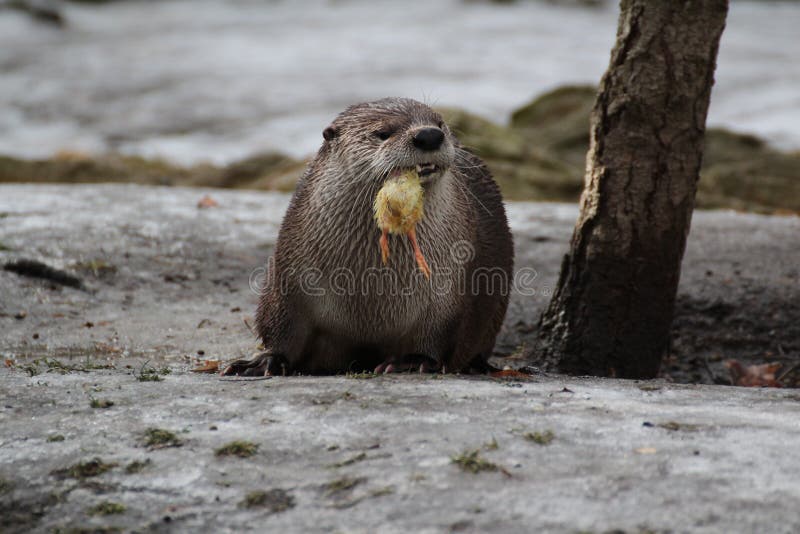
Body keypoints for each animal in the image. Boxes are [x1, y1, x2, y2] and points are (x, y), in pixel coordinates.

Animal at [224, 98, 513, 375]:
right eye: (383, 133)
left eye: (440, 123)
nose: (430, 135)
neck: (370, 292)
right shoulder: (289, 278)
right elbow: (280, 326)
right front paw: (263, 360)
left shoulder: (450, 291)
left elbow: (439, 335)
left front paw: (411, 361)